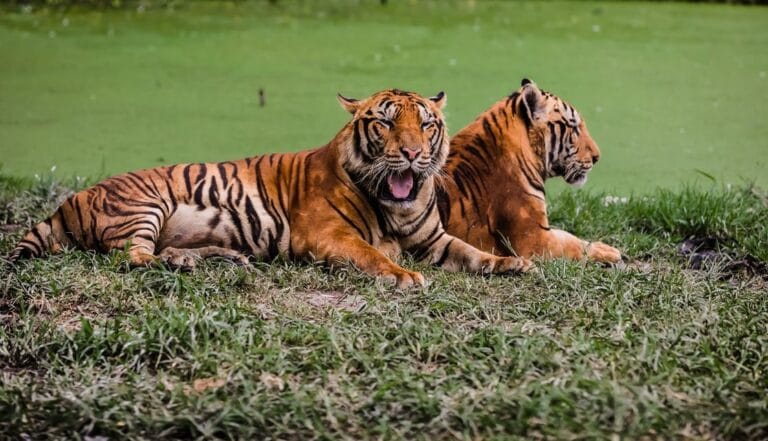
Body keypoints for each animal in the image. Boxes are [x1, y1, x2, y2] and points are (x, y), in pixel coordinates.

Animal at [9, 89, 532, 288]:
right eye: (384, 123)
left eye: (426, 125)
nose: (409, 152)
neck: (397, 207)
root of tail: (71, 199)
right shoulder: (326, 235)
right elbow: (371, 255)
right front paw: (403, 276)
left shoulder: (435, 239)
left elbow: (472, 252)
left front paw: (513, 263)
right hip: (144, 206)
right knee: (132, 258)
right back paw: (182, 263)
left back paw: (211, 259)